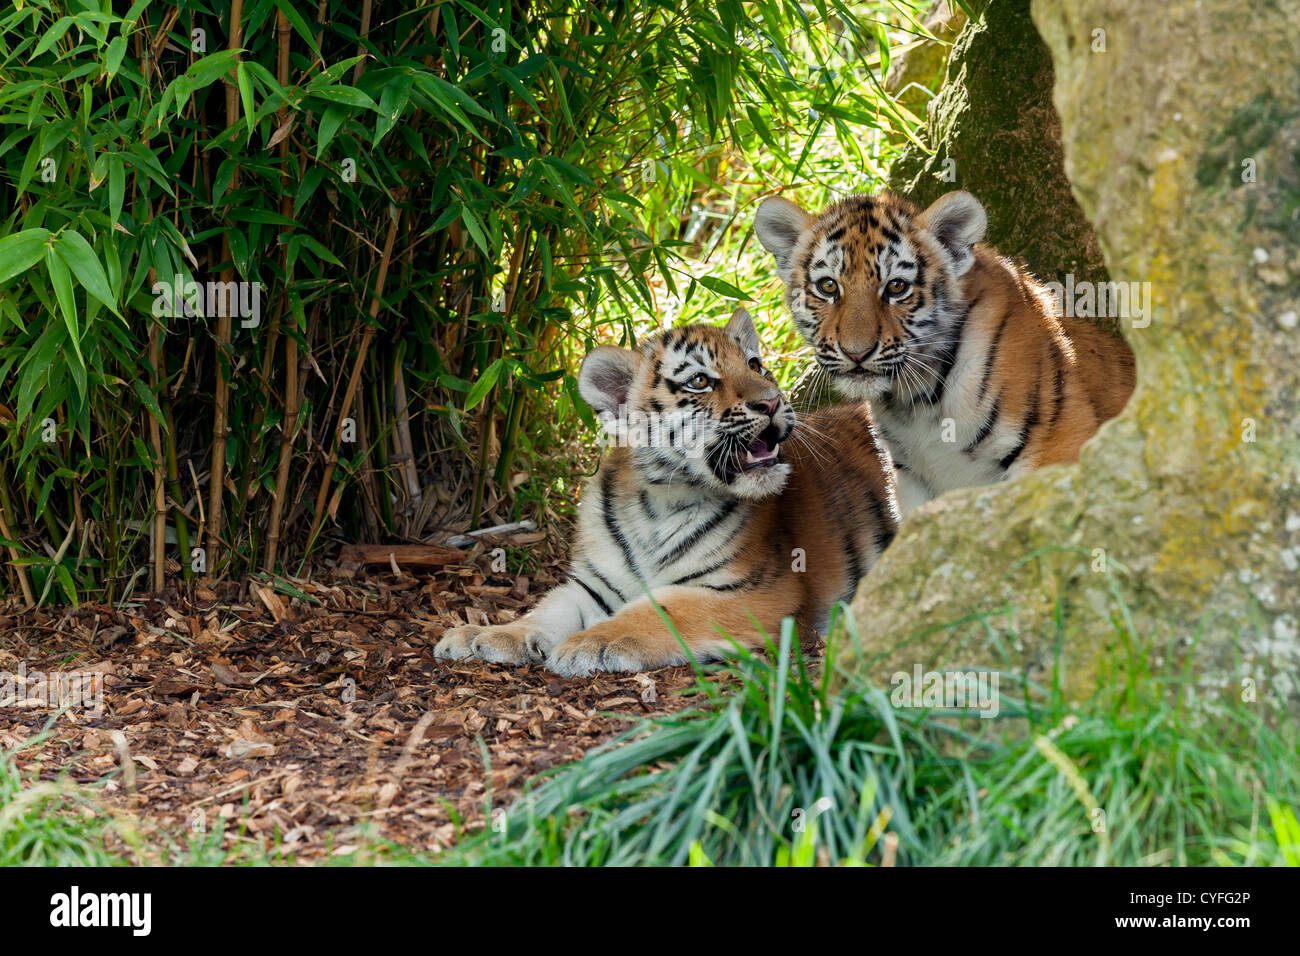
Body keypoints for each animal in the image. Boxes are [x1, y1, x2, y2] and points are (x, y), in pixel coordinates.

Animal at [434, 309, 899, 677]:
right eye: (699, 381)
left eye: (756, 365)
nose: (772, 401)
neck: (658, 503)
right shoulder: (593, 584)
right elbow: (546, 609)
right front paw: (483, 635)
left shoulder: (758, 590)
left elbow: (660, 608)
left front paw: (590, 643)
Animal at [753, 189, 1136, 513]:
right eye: (828, 286)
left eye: (897, 287)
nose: (856, 353)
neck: (918, 399)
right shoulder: (911, 479)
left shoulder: (1058, 442)